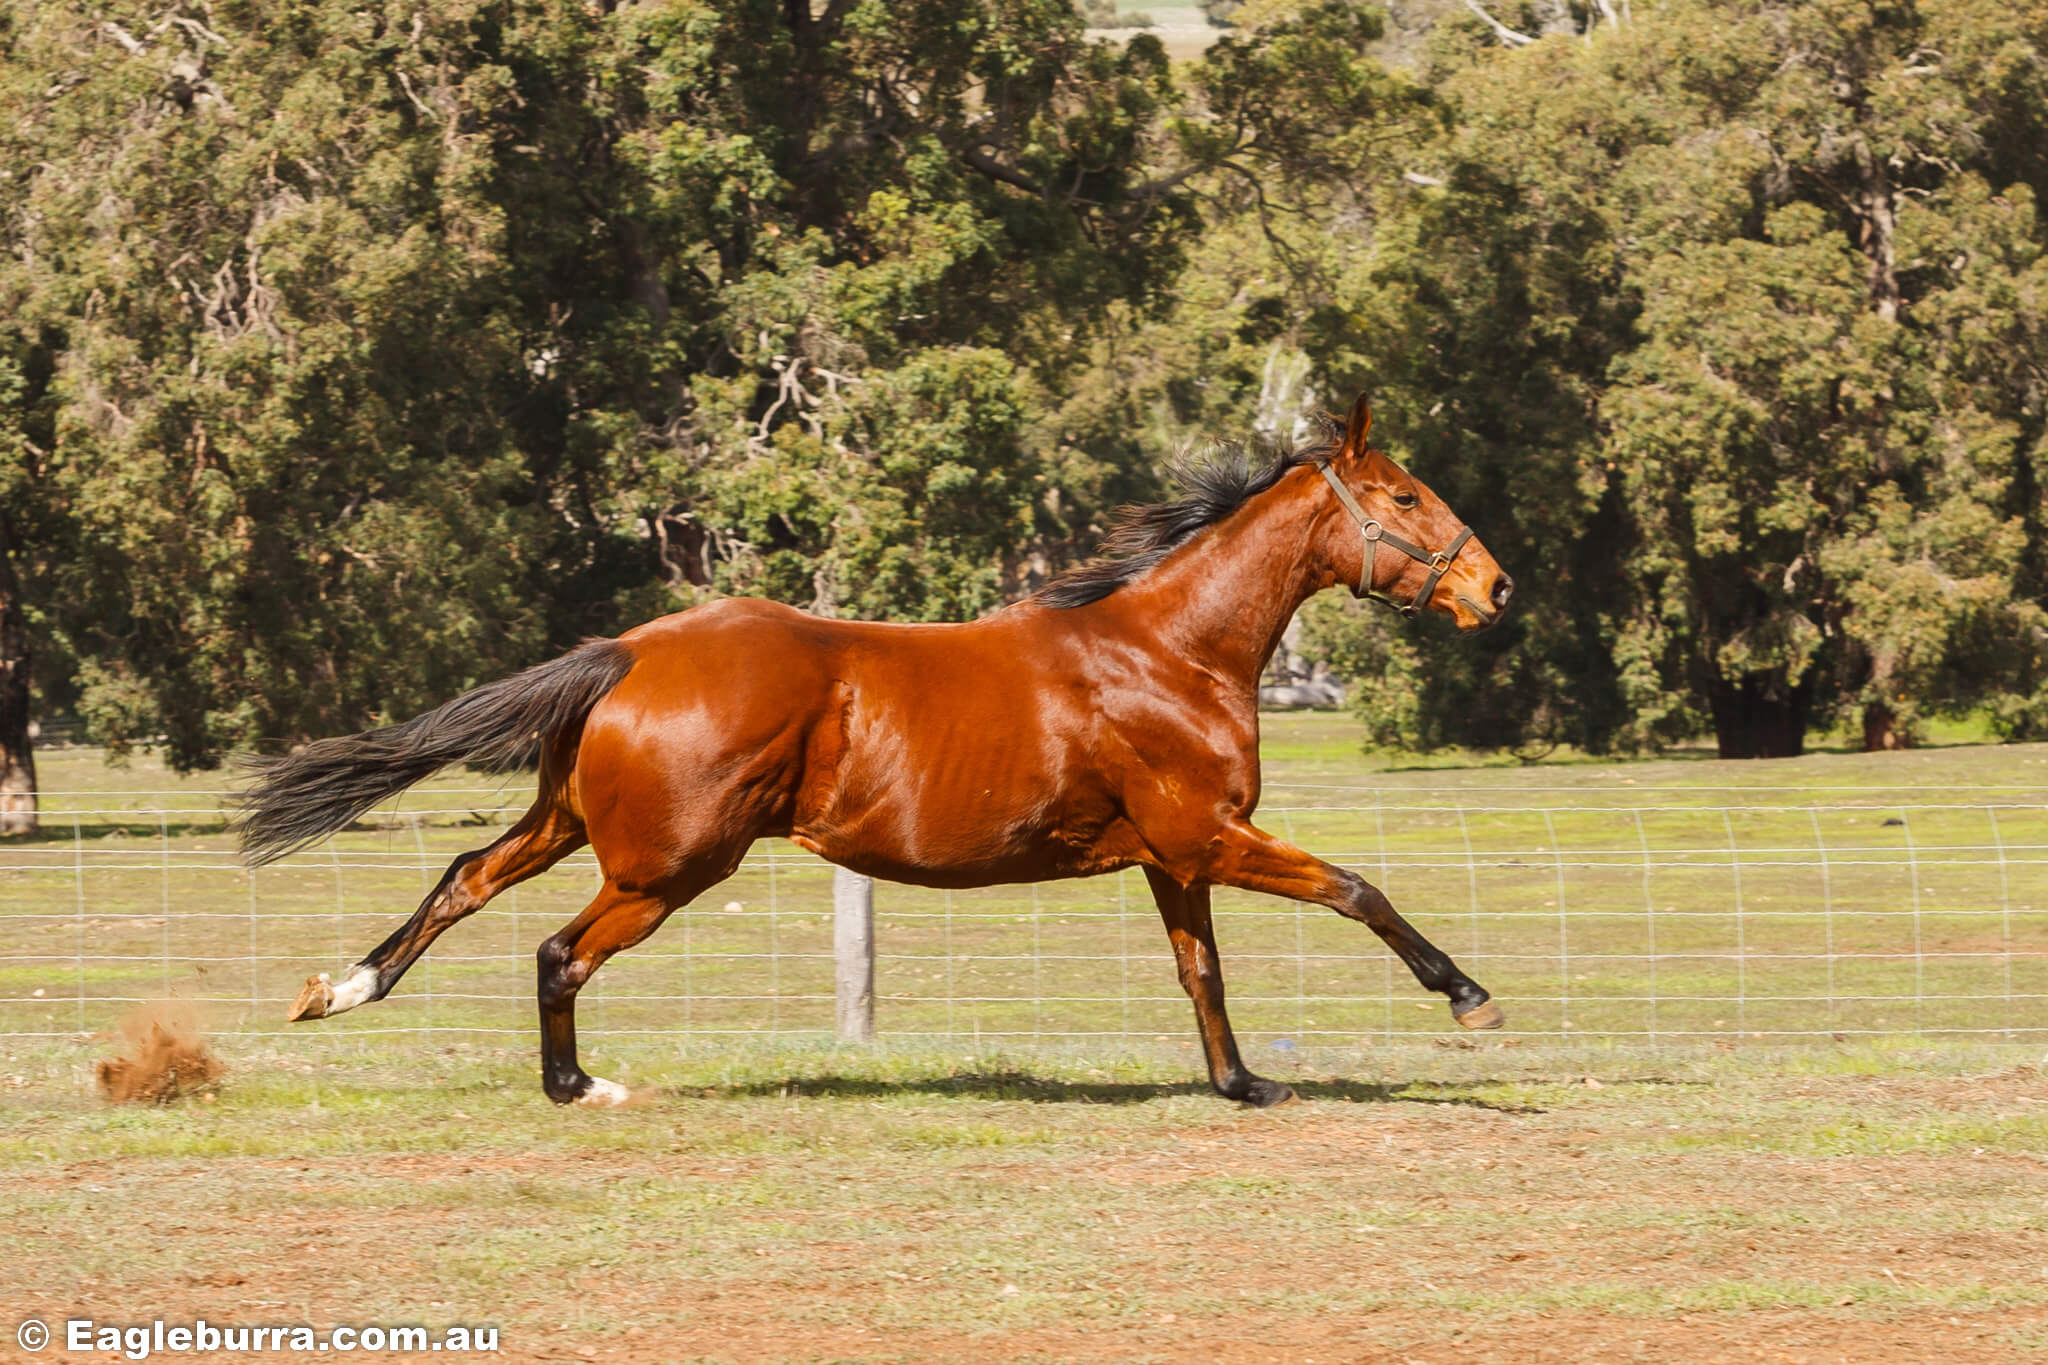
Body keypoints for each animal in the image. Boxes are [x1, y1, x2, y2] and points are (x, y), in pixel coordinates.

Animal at [235, 395, 1514, 1107]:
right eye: (1404, 495)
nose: (1492, 587)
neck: (1169, 650)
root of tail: (629, 652)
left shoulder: (1173, 855)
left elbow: (1200, 972)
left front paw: (1244, 1085)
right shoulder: (1208, 835)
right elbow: (1355, 889)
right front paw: (1467, 999)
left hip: (576, 826)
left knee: (464, 881)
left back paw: (338, 991)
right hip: (662, 869)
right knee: (557, 951)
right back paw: (575, 1085)